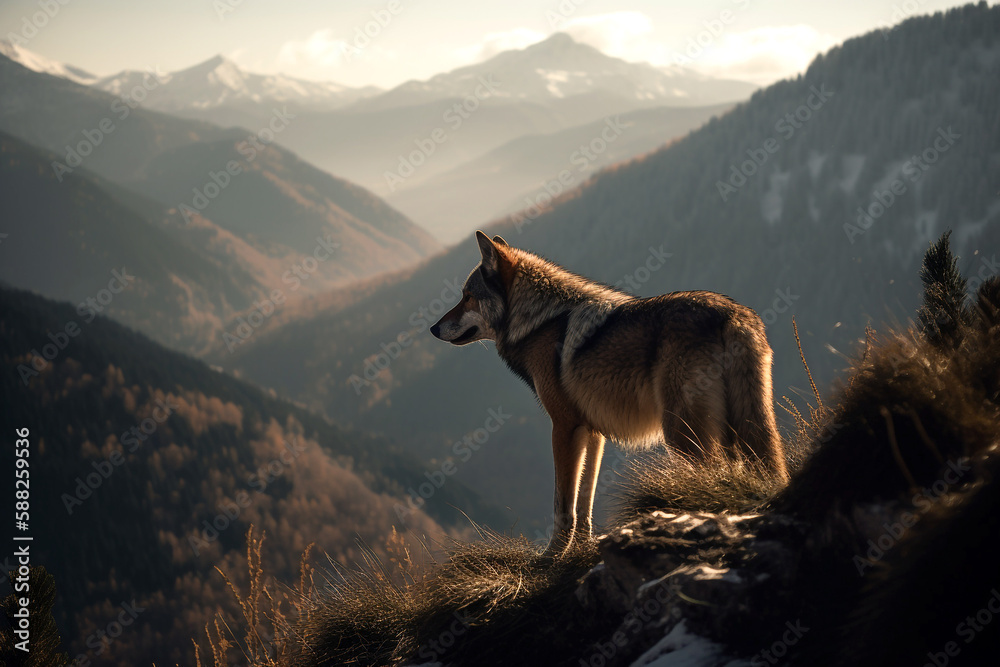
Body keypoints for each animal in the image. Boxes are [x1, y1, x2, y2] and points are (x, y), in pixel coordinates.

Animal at [431, 231, 787, 555]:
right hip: (738, 429)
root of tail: (733, 314)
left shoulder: (564, 427)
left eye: (467, 296)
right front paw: (582, 547)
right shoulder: (593, 432)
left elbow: (563, 504)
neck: (539, 322)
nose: (433, 328)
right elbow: (585, 500)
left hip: (682, 433)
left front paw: (551, 556)